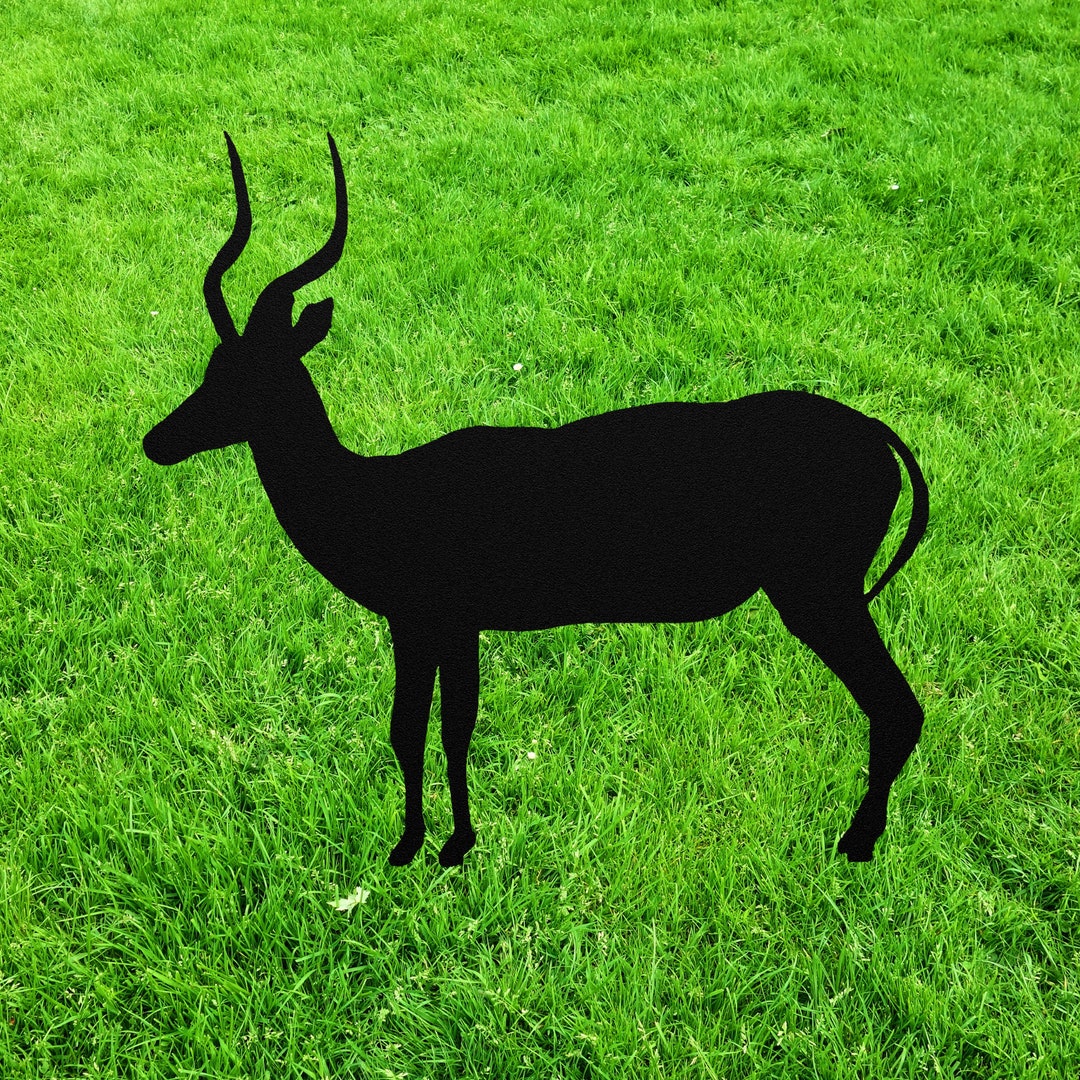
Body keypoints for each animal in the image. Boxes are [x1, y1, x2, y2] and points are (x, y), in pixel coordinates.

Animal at [144, 133, 929, 868]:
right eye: (215, 364)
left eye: (248, 376)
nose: (157, 441)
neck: (375, 493)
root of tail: (880, 435)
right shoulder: (449, 626)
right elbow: (443, 726)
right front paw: (447, 844)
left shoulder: (426, 620)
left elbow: (421, 728)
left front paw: (422, 847)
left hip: (818, 593)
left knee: (899, 707)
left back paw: (856, 844)